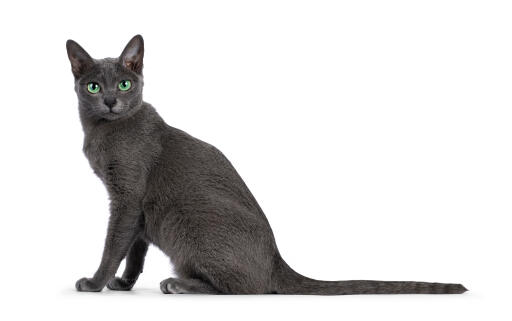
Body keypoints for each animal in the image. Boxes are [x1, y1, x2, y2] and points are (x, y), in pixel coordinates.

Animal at [67, 34, 468, 292]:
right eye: (93, 86)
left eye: (123, 84)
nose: (109, 101)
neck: (101, 131)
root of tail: (277, 259)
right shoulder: (137, 212)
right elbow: (135, 252)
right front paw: (123, 284)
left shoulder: (127, 197)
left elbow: (114, 245)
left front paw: (95, 283)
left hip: (186, 218)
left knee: (250, 287)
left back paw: (179, 284)